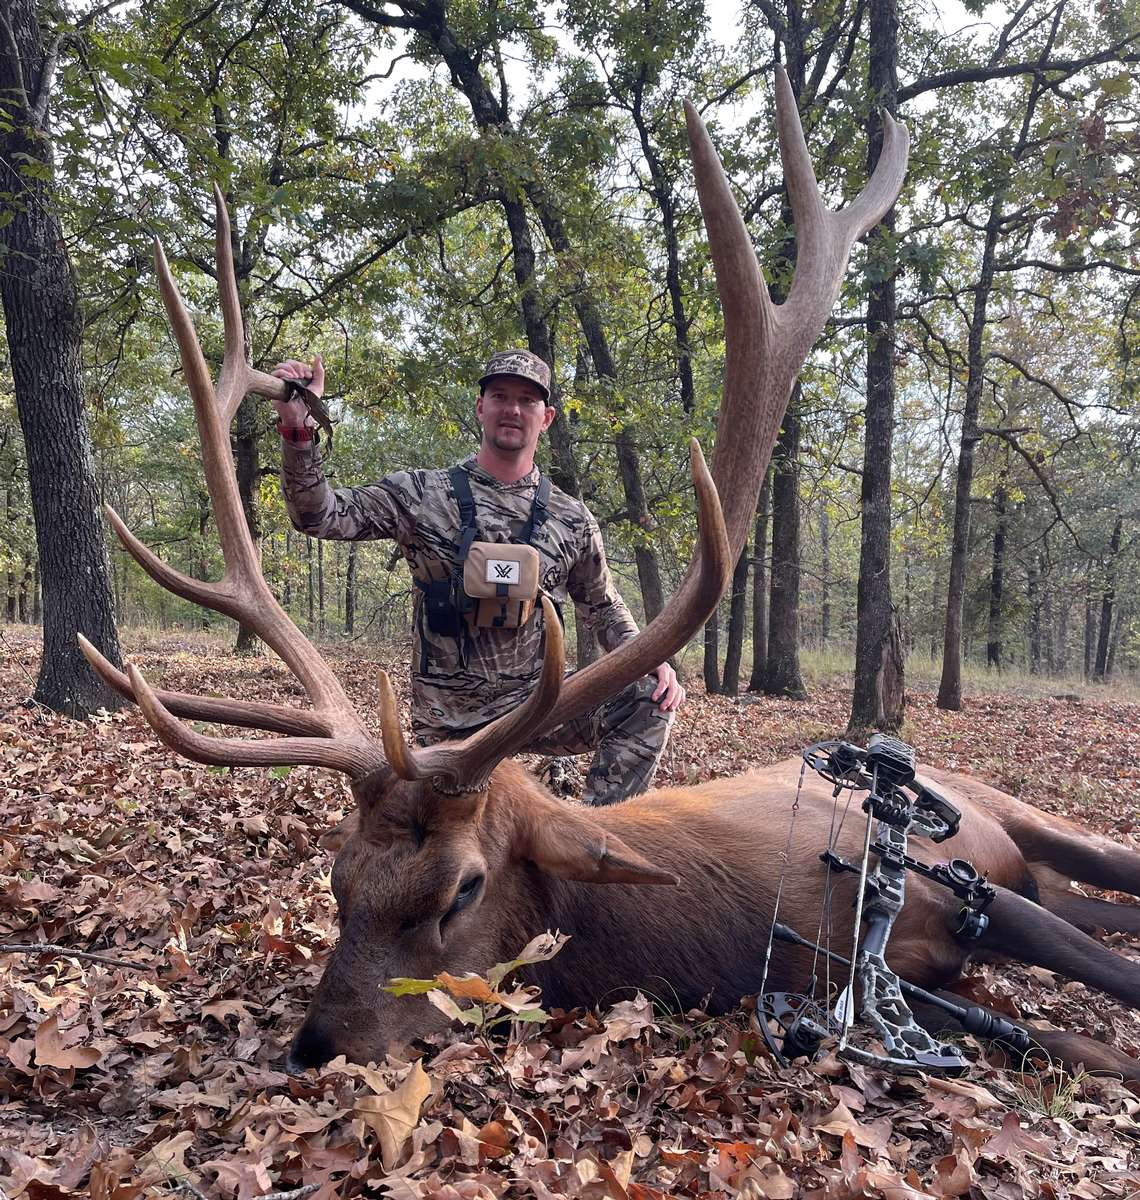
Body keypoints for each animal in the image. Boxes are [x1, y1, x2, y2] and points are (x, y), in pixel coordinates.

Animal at [80, 69, 1140, 1084]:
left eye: (461, 887)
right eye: (338, 881)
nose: (315, 1048)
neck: (722, 937)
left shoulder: (962, 893)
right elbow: (1074, 1038)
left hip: (1009, 812)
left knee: (1102, 868)